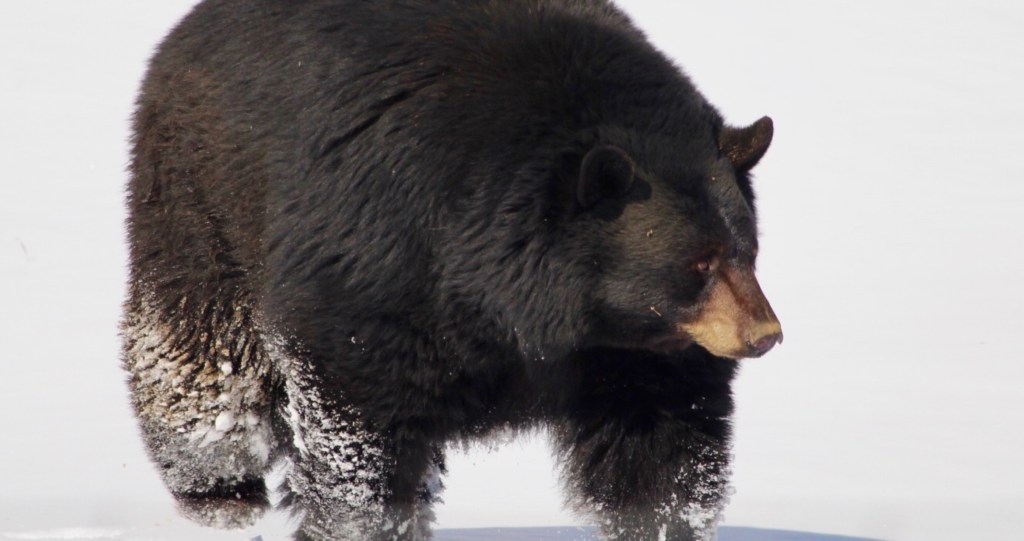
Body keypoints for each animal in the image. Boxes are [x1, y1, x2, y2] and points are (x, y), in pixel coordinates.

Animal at [121, 1, 782, 540]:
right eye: (697, 262)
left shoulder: (633, 354)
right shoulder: (379, 257)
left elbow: (662, 447)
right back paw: (218, 493)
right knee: (204, 356)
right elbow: (357, 424)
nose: (765, 335)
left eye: (747, 250)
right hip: (202, 202)